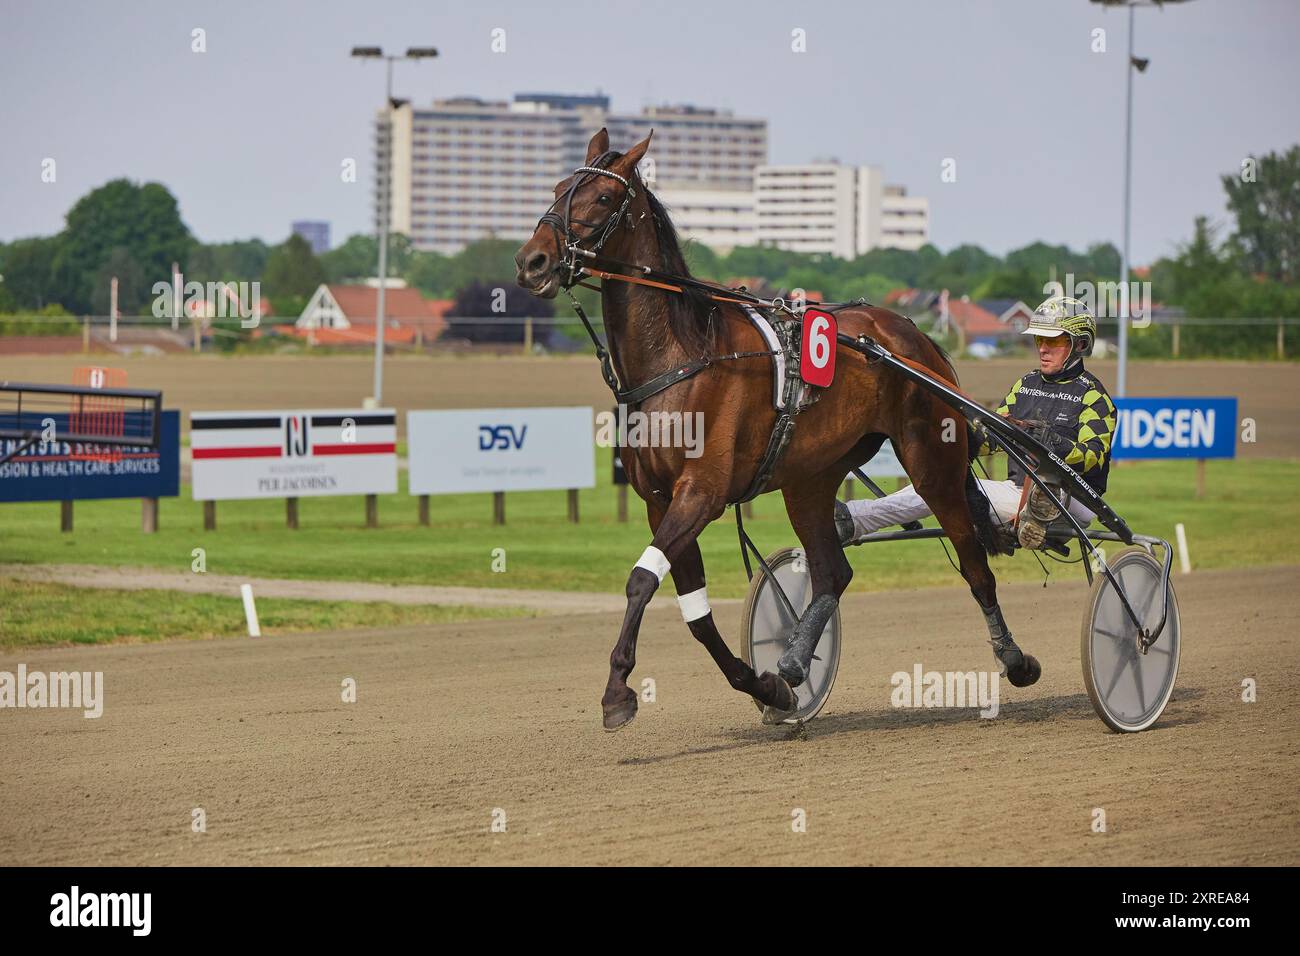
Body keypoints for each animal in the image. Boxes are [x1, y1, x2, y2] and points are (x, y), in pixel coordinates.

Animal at [515, 128, 1040, 731]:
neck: (681, 357)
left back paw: (1014, 659)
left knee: (974, 564)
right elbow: (695, 612)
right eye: (558, 188)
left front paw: (617, 691)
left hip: (933, 461)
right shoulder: (659, 498)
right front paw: (768, 685)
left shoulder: (701, 492)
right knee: (833, 573)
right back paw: (792, 662)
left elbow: (642, 579)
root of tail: (915, 337)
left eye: (602, 197)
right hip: (810, 477)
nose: (532, 261)